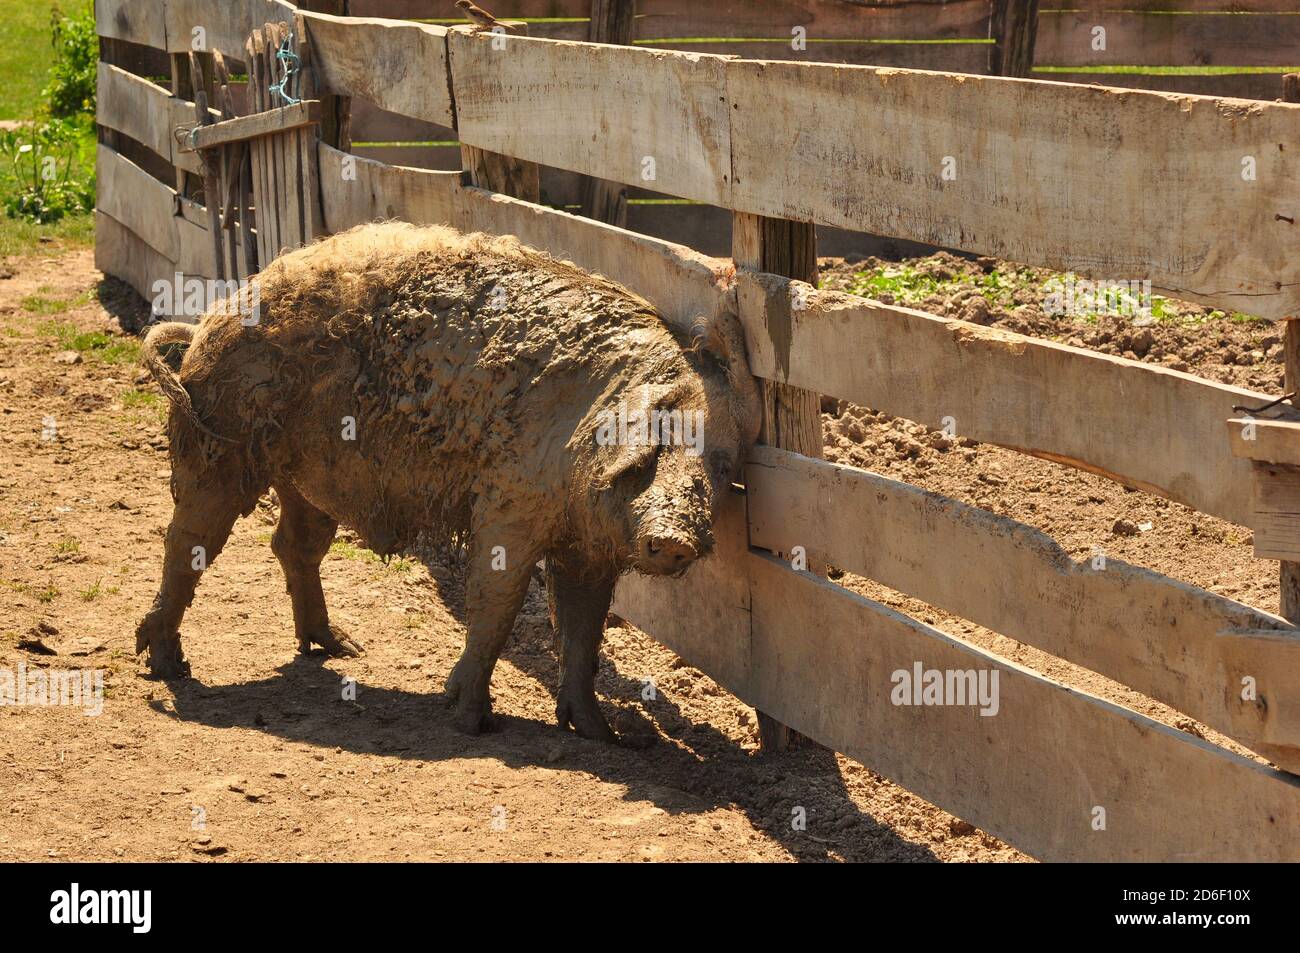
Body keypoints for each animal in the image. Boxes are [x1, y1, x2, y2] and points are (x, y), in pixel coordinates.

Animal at [136, 222, 760, 742]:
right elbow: (496, 603)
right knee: (185, 544)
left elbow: (584, 633)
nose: (673, 538)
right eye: (653, 447)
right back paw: (169, 666)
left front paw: (604, 735)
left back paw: (341, 649)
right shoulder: (508, 503)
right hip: (217, 454)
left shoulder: (589, 550)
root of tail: (211, 319)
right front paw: (470, 721)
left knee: (292, 545)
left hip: (310, 478)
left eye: (720, 464)